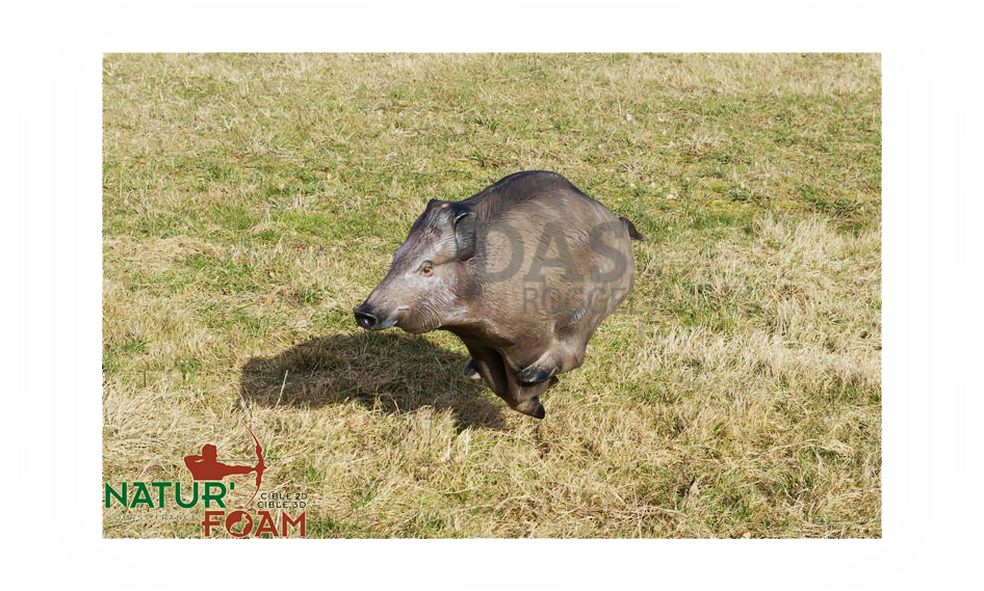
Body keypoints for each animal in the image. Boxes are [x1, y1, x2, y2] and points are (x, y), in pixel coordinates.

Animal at [353, 171, 645, 419]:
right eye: (397, 256)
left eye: (427, 267)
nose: (363, 312)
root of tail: (621, 224)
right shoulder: (480, 342)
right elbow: (498, 383)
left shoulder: (531, 335)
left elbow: (521, 385)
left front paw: (537, 402)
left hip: (592, 310)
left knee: (575, 353)